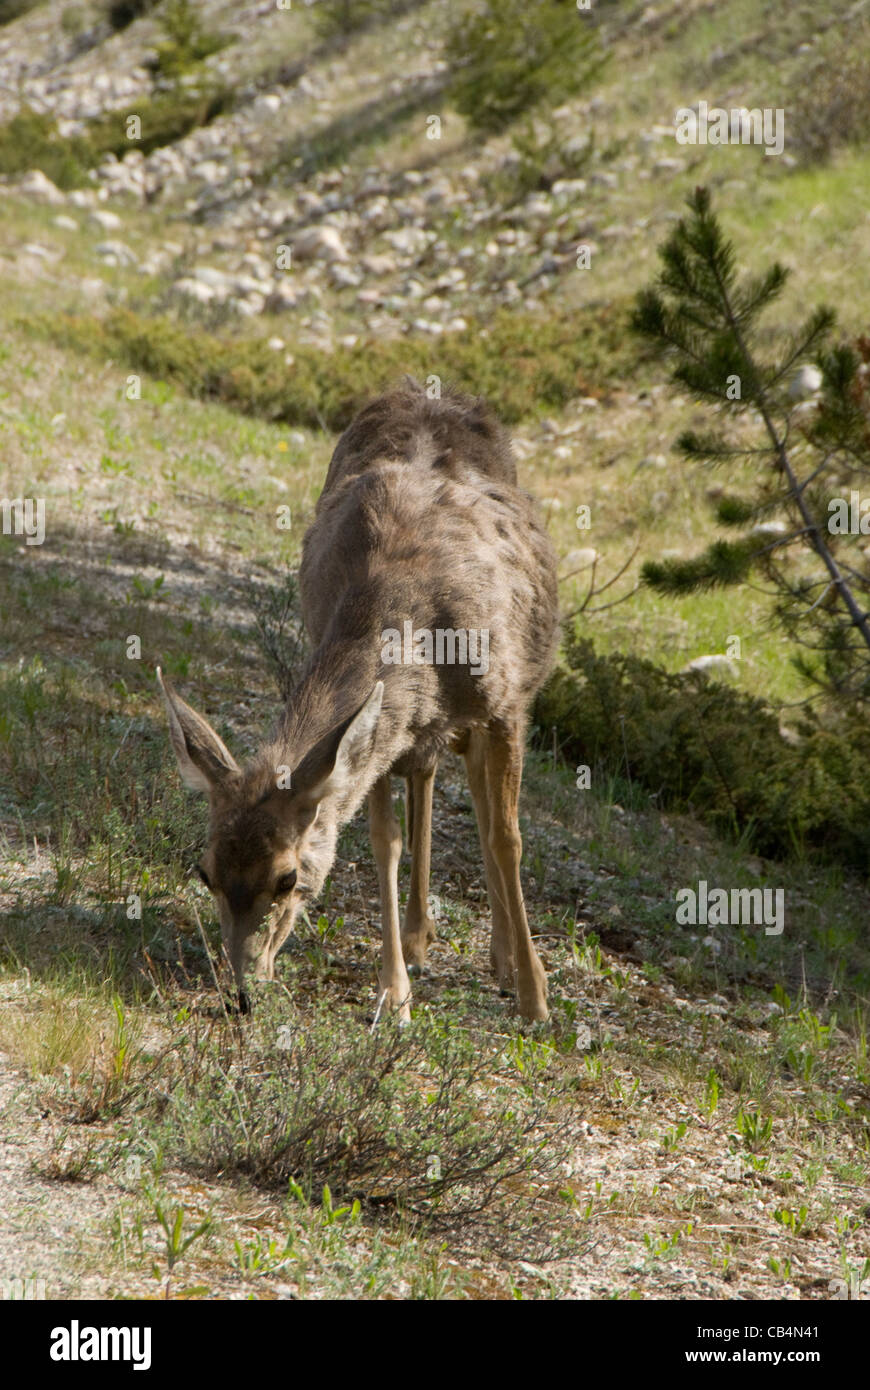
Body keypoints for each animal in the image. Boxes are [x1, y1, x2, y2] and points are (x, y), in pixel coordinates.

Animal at [157, 381, 559, 1023]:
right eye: (205, 871)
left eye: (286, 878)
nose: (241, 990)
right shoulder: (374, 726)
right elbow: (384, 842)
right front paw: (394, 990)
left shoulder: (505, 703)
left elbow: (507, 837)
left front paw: (535, 994)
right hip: (416, 729)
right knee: (425, 771)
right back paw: (420, 937)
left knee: (477, 792)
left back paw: (501, 960)